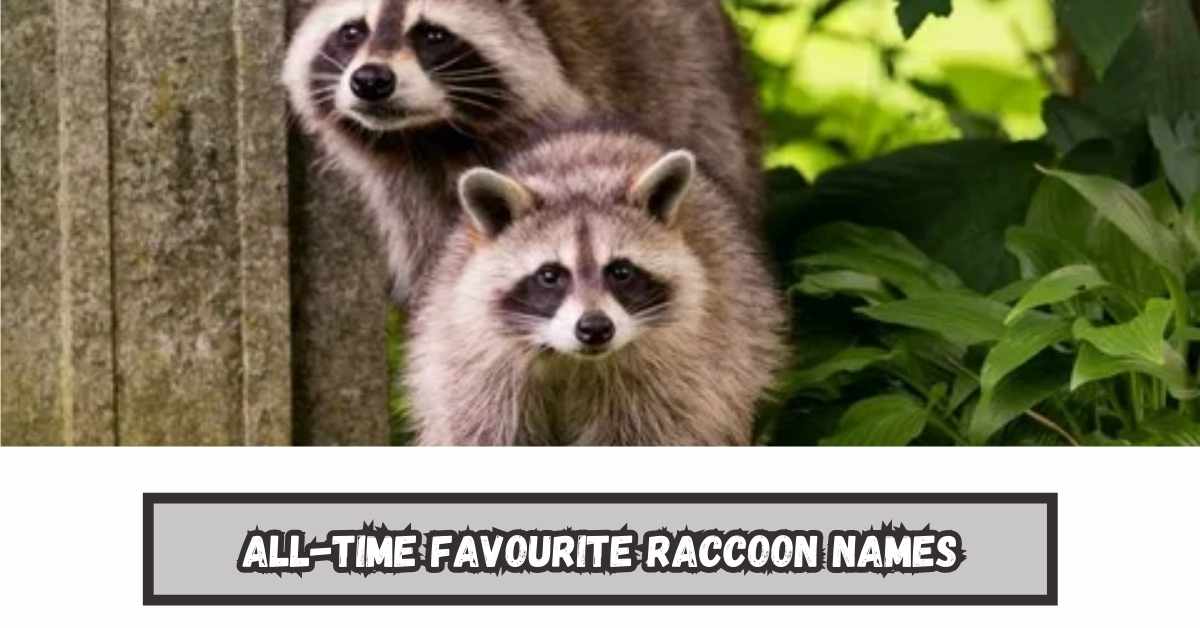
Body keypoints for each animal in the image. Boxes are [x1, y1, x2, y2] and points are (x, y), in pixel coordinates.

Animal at [406, 125, 787, 446]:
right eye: (550, 275)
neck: (570, 358)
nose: (594, 328)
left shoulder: (673, 374)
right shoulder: (476, 368)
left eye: (621, 272)